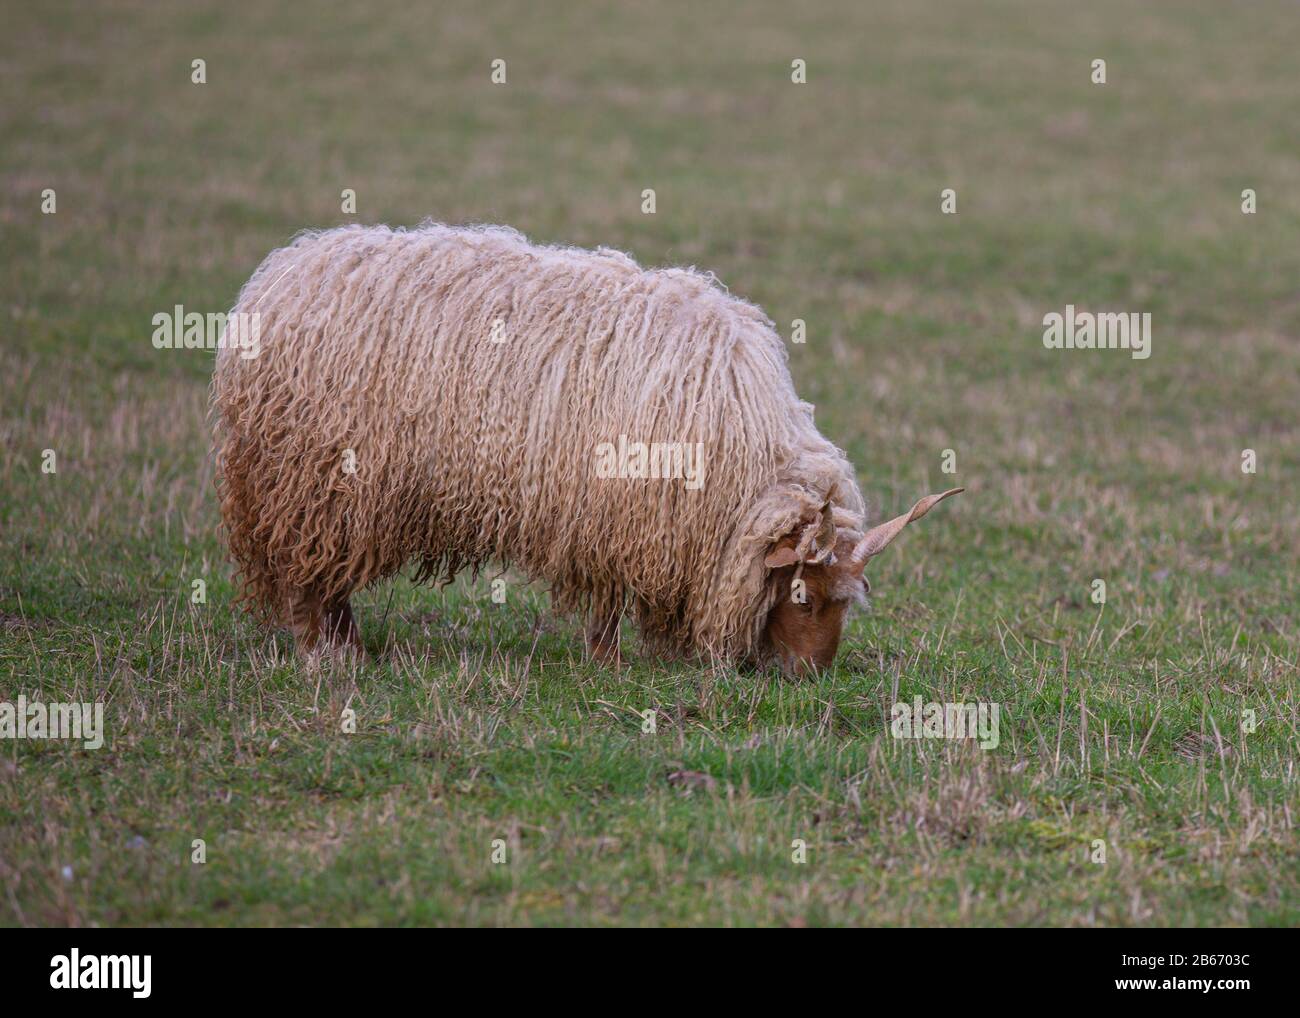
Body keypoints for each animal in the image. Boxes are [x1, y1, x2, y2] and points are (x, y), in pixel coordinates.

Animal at [210, 218, 967, 670]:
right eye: (803, 596)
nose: (808, 679)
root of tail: (280, 272)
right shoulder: (614, 512)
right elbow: (607, 598)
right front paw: (609, 661)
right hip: (312, 481)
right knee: (308, 578)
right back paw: (326, 653)